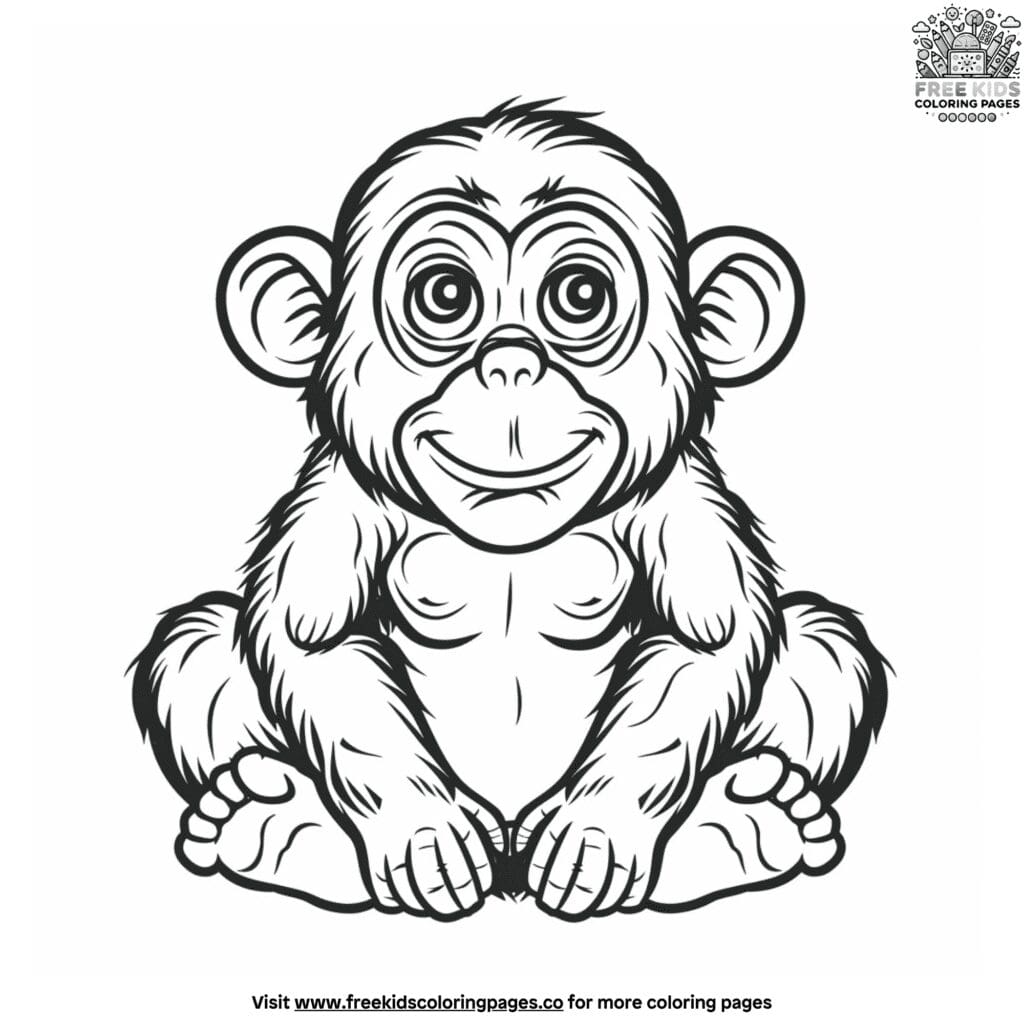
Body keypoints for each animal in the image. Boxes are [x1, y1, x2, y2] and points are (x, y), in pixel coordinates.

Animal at [132, 99, 888, 922]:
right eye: (445, 297)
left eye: (580, 296)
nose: (510, 364)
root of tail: (510, 874)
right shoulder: (340, 497)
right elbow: (314, 638)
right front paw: (421, 828)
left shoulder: (680, 496)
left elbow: (705, 638)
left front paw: (598, 828)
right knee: (200, 644)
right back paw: (276, 825)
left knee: (819, 644)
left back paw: (743, 825)